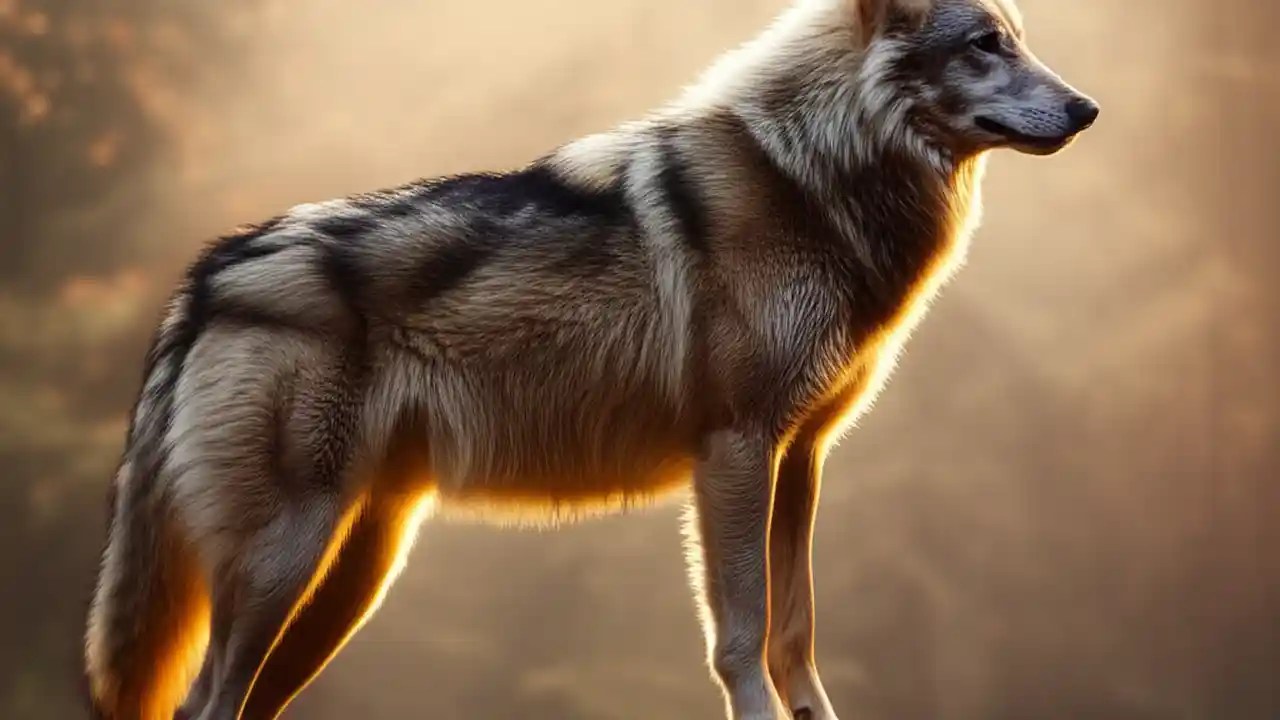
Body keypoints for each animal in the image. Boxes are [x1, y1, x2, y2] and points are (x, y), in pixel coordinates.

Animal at [84, 0, 1097, 717]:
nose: (1088, 108)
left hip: (354, 573)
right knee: (204, 703)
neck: (811, 174)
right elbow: (742, 638)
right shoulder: (735, 450)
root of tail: (208, 274)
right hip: (283, 563)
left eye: (1021, 39)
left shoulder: (802, 456)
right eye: (986, 44)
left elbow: (796, 636)